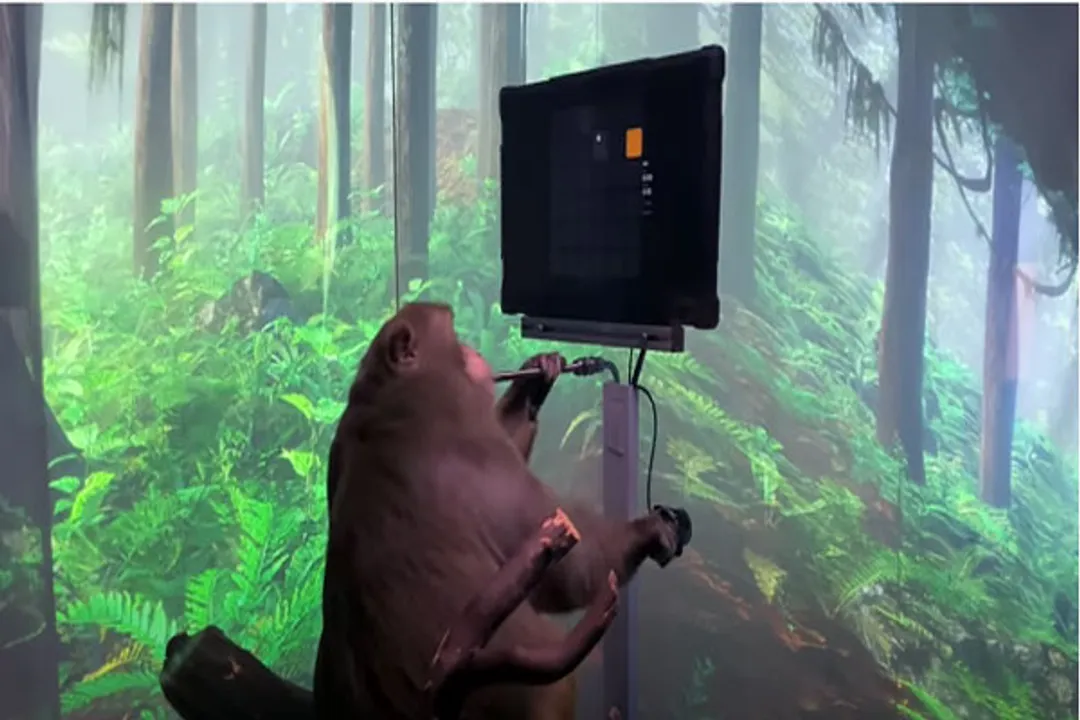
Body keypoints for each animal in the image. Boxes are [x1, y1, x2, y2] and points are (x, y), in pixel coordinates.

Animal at [313, 302, 691, 720]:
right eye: (456, 340)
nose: (474, 350)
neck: (386, 400)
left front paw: (536, 379)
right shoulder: (476, 452)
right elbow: (571, 571)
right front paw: (652, 530)